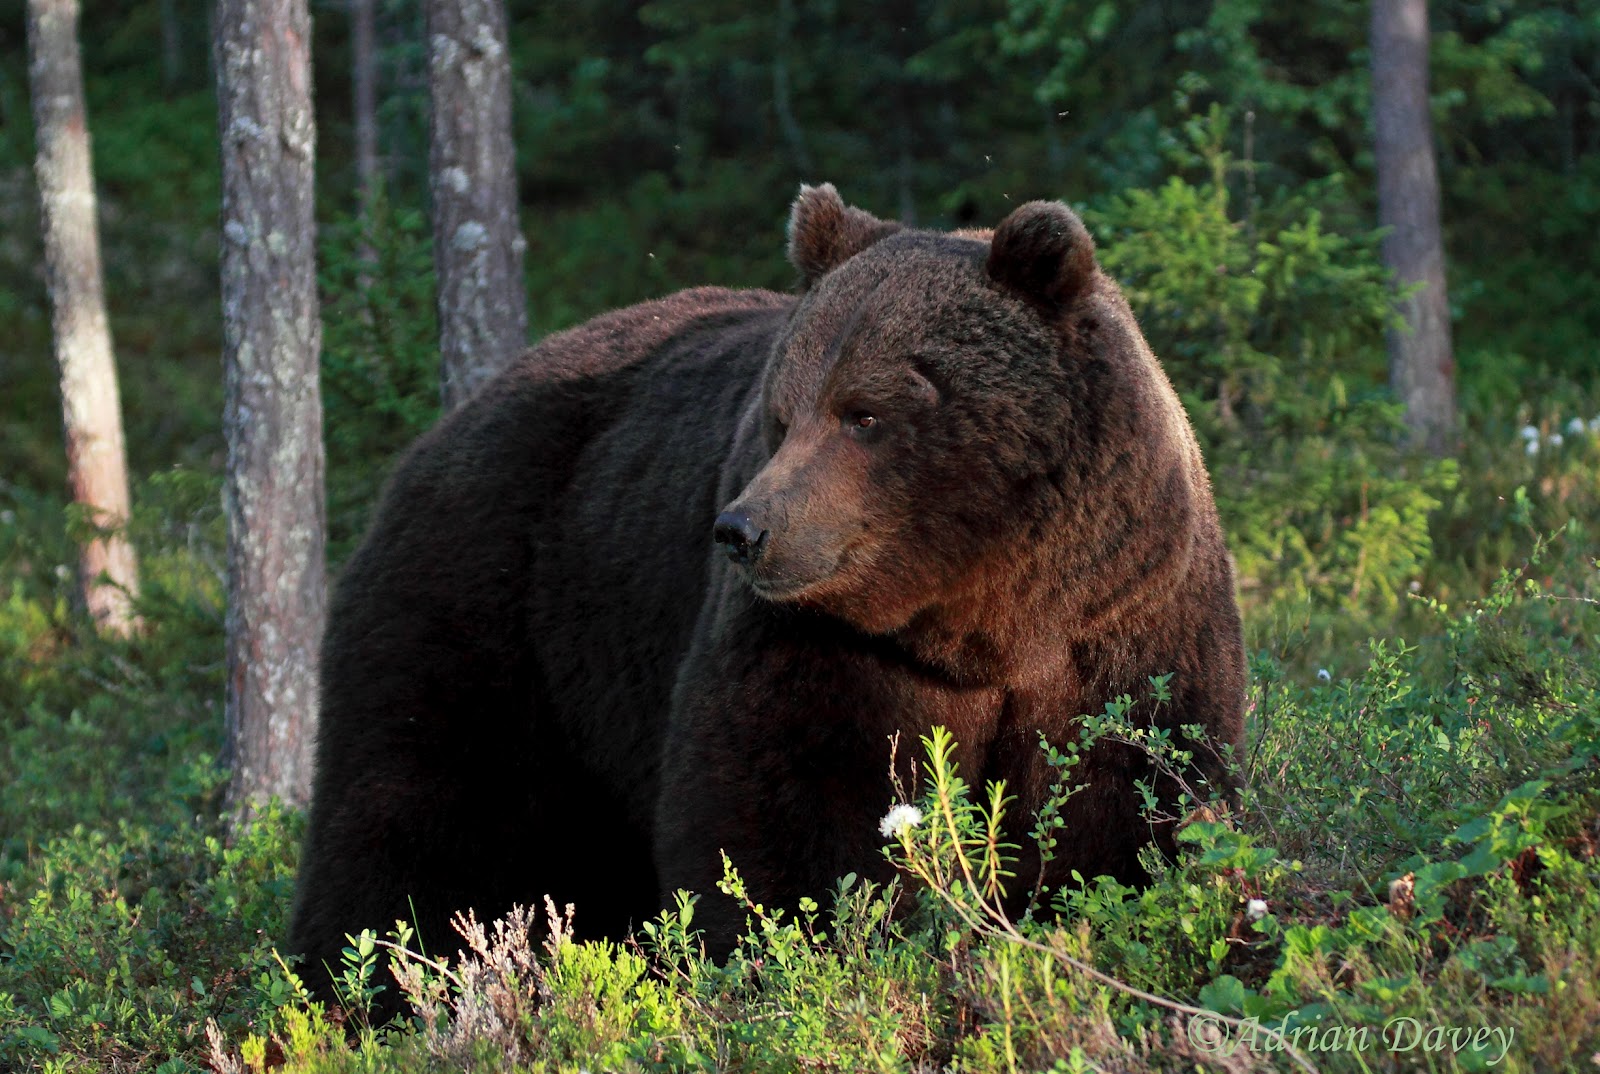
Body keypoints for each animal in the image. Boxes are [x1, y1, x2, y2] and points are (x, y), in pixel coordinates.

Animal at [288, 184, 1246, 1011]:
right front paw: (804, 960)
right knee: (419, 812)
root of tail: (439, 429)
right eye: (783, 413)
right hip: (492, 601)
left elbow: (1129, 804)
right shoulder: (818, 647)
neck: (983, 621)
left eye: (865, 412)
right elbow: (786, 816)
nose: (743, 529)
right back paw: (364, 989)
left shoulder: (1125, 622)